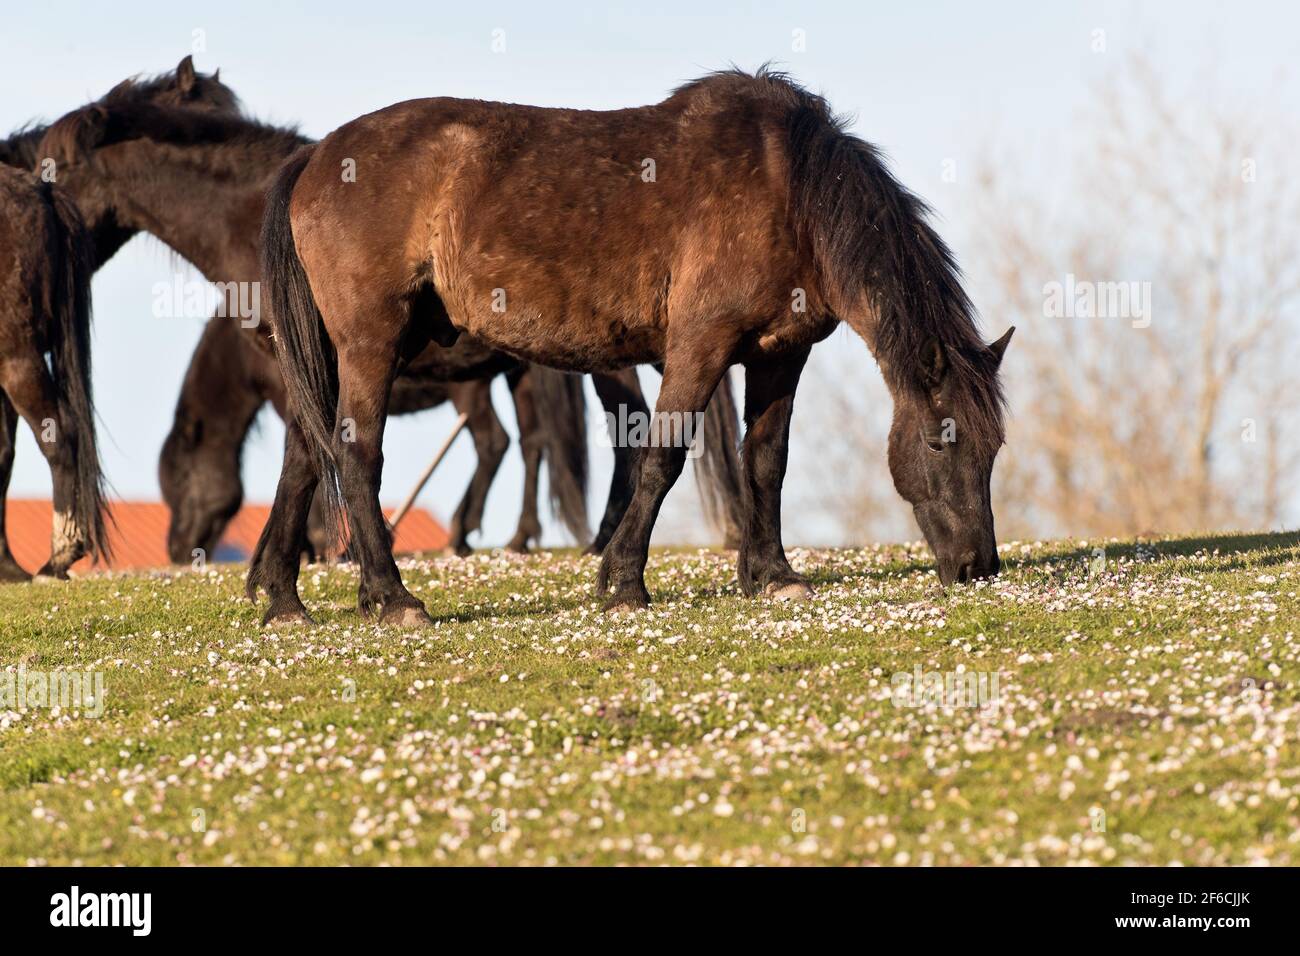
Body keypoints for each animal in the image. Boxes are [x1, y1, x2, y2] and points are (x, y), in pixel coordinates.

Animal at [246, 67, 1013, 624]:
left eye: (994, 448)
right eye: (941, 440)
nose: (979, 567)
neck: (789, 190)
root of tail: (316, 157)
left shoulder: (779, 354)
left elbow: (767, 461)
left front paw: (772, 575)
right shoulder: (700, 346)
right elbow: (662, 456)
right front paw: (622, 582)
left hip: (343, 352)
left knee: (305, 454)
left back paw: (285, 600)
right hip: (372, 343)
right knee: (355, 454)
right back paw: (393, 597)